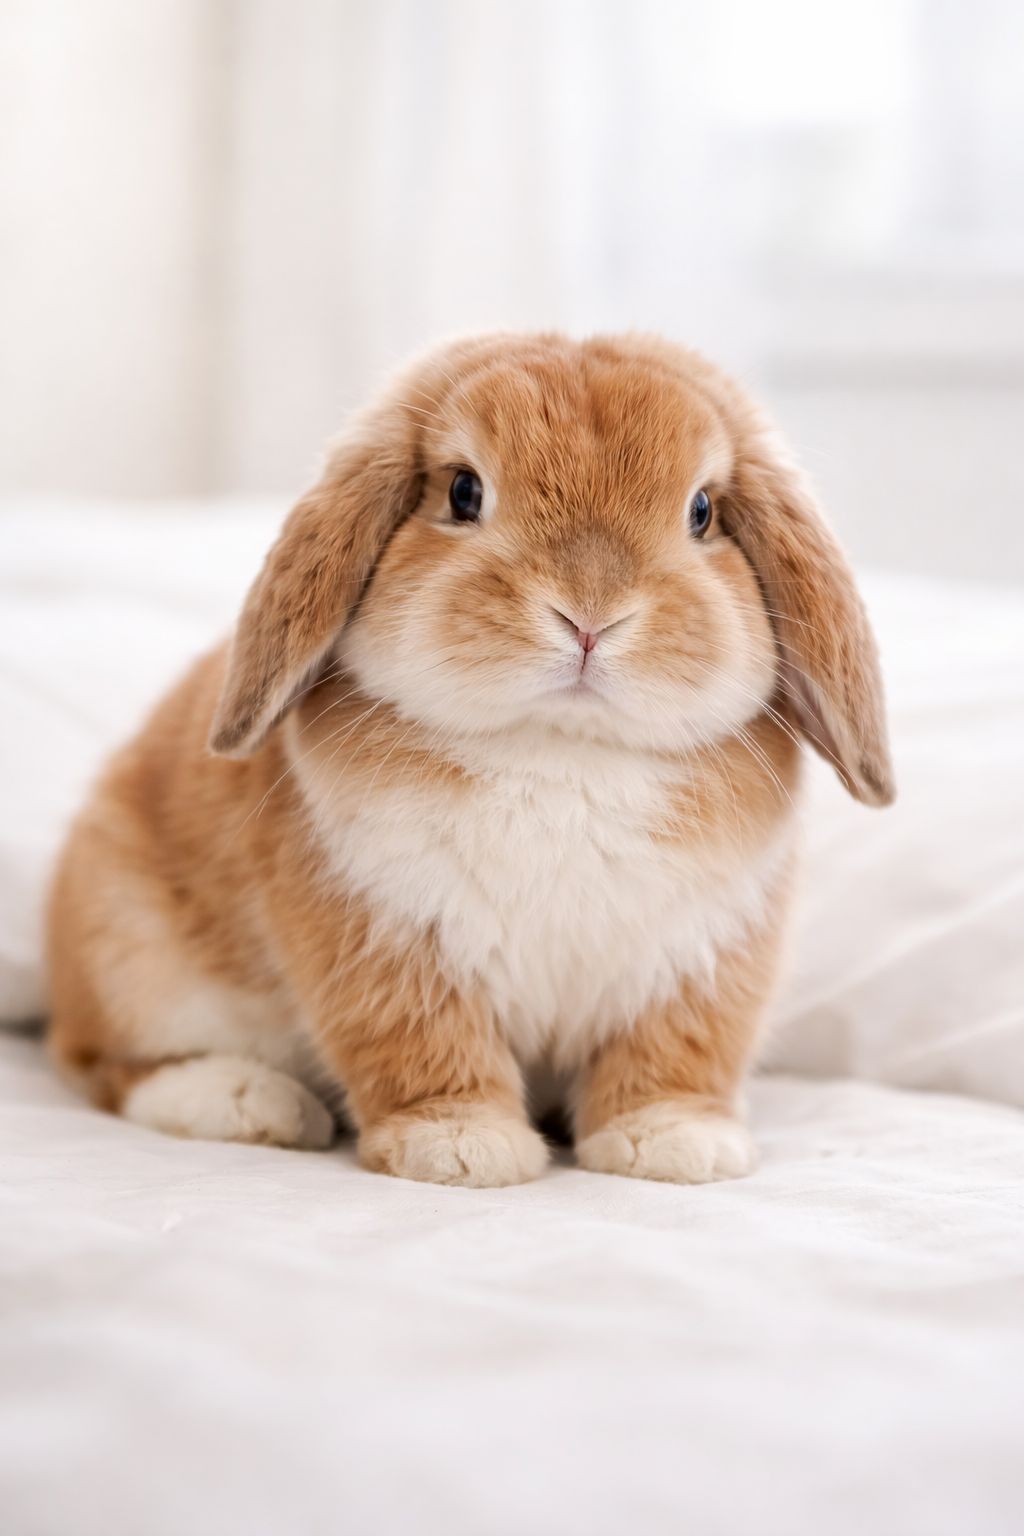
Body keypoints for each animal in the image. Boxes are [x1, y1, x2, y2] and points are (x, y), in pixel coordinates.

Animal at [46, 332, 893, 1187]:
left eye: (702, 510)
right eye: (463, 491)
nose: (589, 616)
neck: (562, 750)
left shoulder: (701, 960)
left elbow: (676, 1056)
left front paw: (673, 1144)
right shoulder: (384, 943)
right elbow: (421, 1044)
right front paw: (460, 1149)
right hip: (134, 958)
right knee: (104, 1067)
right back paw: (250, 1102)